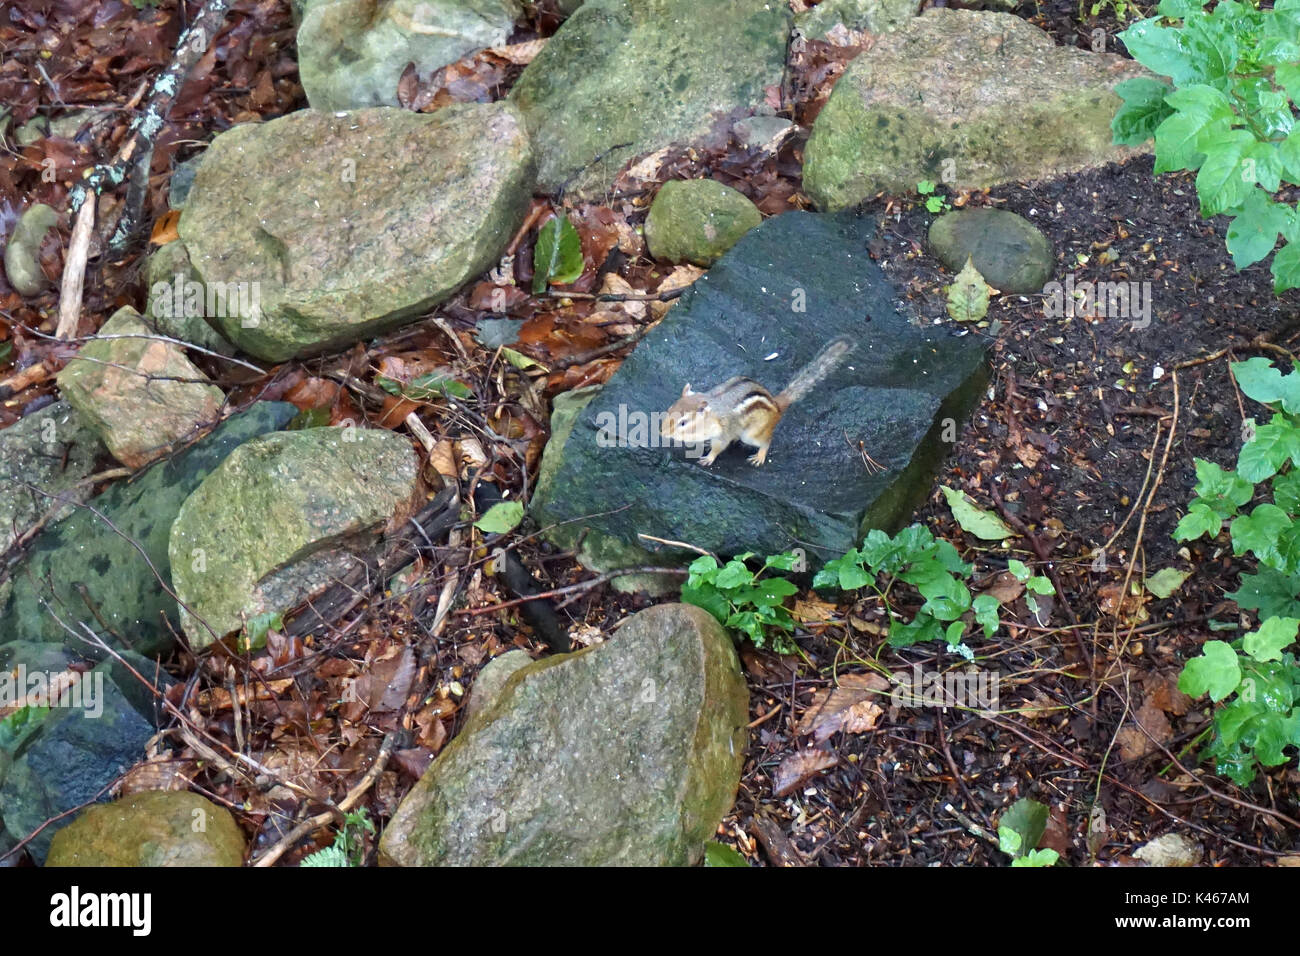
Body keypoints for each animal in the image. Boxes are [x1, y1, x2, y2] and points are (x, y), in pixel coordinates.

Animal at [660, 335, 854, 467]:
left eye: (683, 423)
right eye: (669, 409)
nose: (661, 433)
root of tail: (776, 405)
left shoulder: (724, 433)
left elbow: (718, 447)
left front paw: (708, 458)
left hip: (752, 434)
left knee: (767, 441)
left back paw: (759, 456)